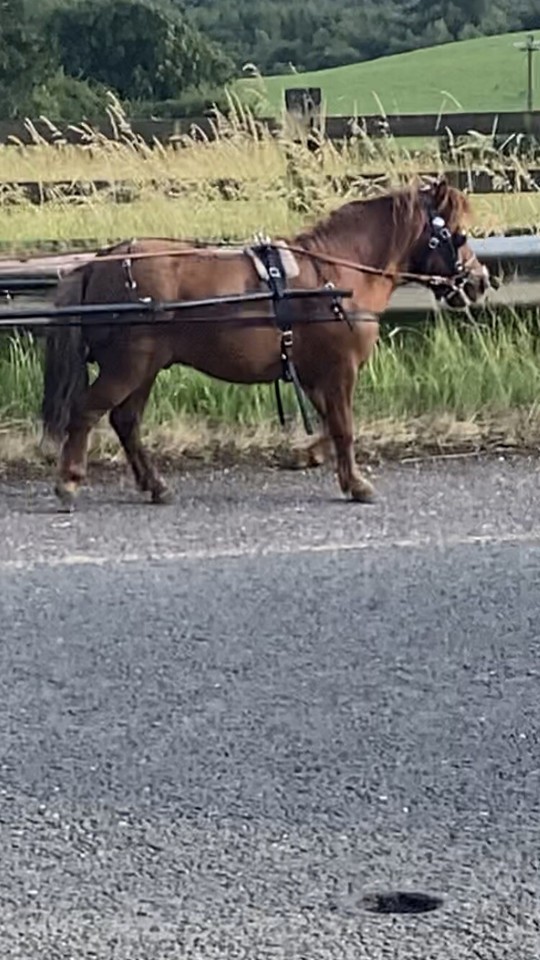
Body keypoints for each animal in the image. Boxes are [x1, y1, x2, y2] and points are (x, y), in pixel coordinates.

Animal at [41, 178, 490, 510]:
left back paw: (155, 485)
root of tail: (98, 263)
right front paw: (356, 483)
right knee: (87, 411)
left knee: (126, 421)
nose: (480, 281)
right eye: (459, 234)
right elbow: (344, 427)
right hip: (128, 366)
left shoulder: (314, 373)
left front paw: (306, 455)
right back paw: (68, 482)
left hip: (145, 368)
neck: (337, 276)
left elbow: (330, 423)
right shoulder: (339, 370)